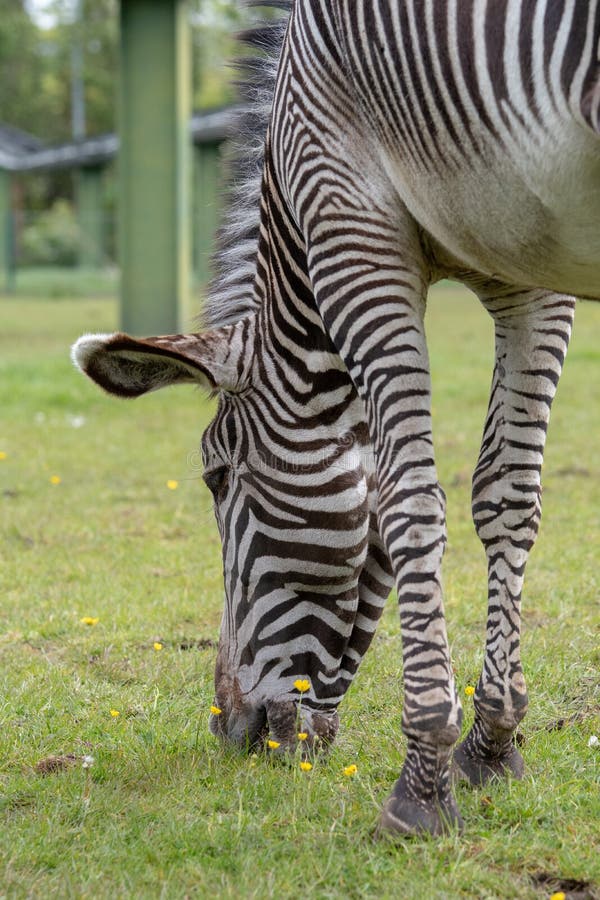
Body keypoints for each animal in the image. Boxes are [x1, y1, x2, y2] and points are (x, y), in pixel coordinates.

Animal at [73, 1, 600, 836]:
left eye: (214, 477)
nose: (231, 732)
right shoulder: (529, 272)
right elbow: (506, 495)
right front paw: (491, 744)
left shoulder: (350, 227)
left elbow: (414, 503)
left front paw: (423, 784)